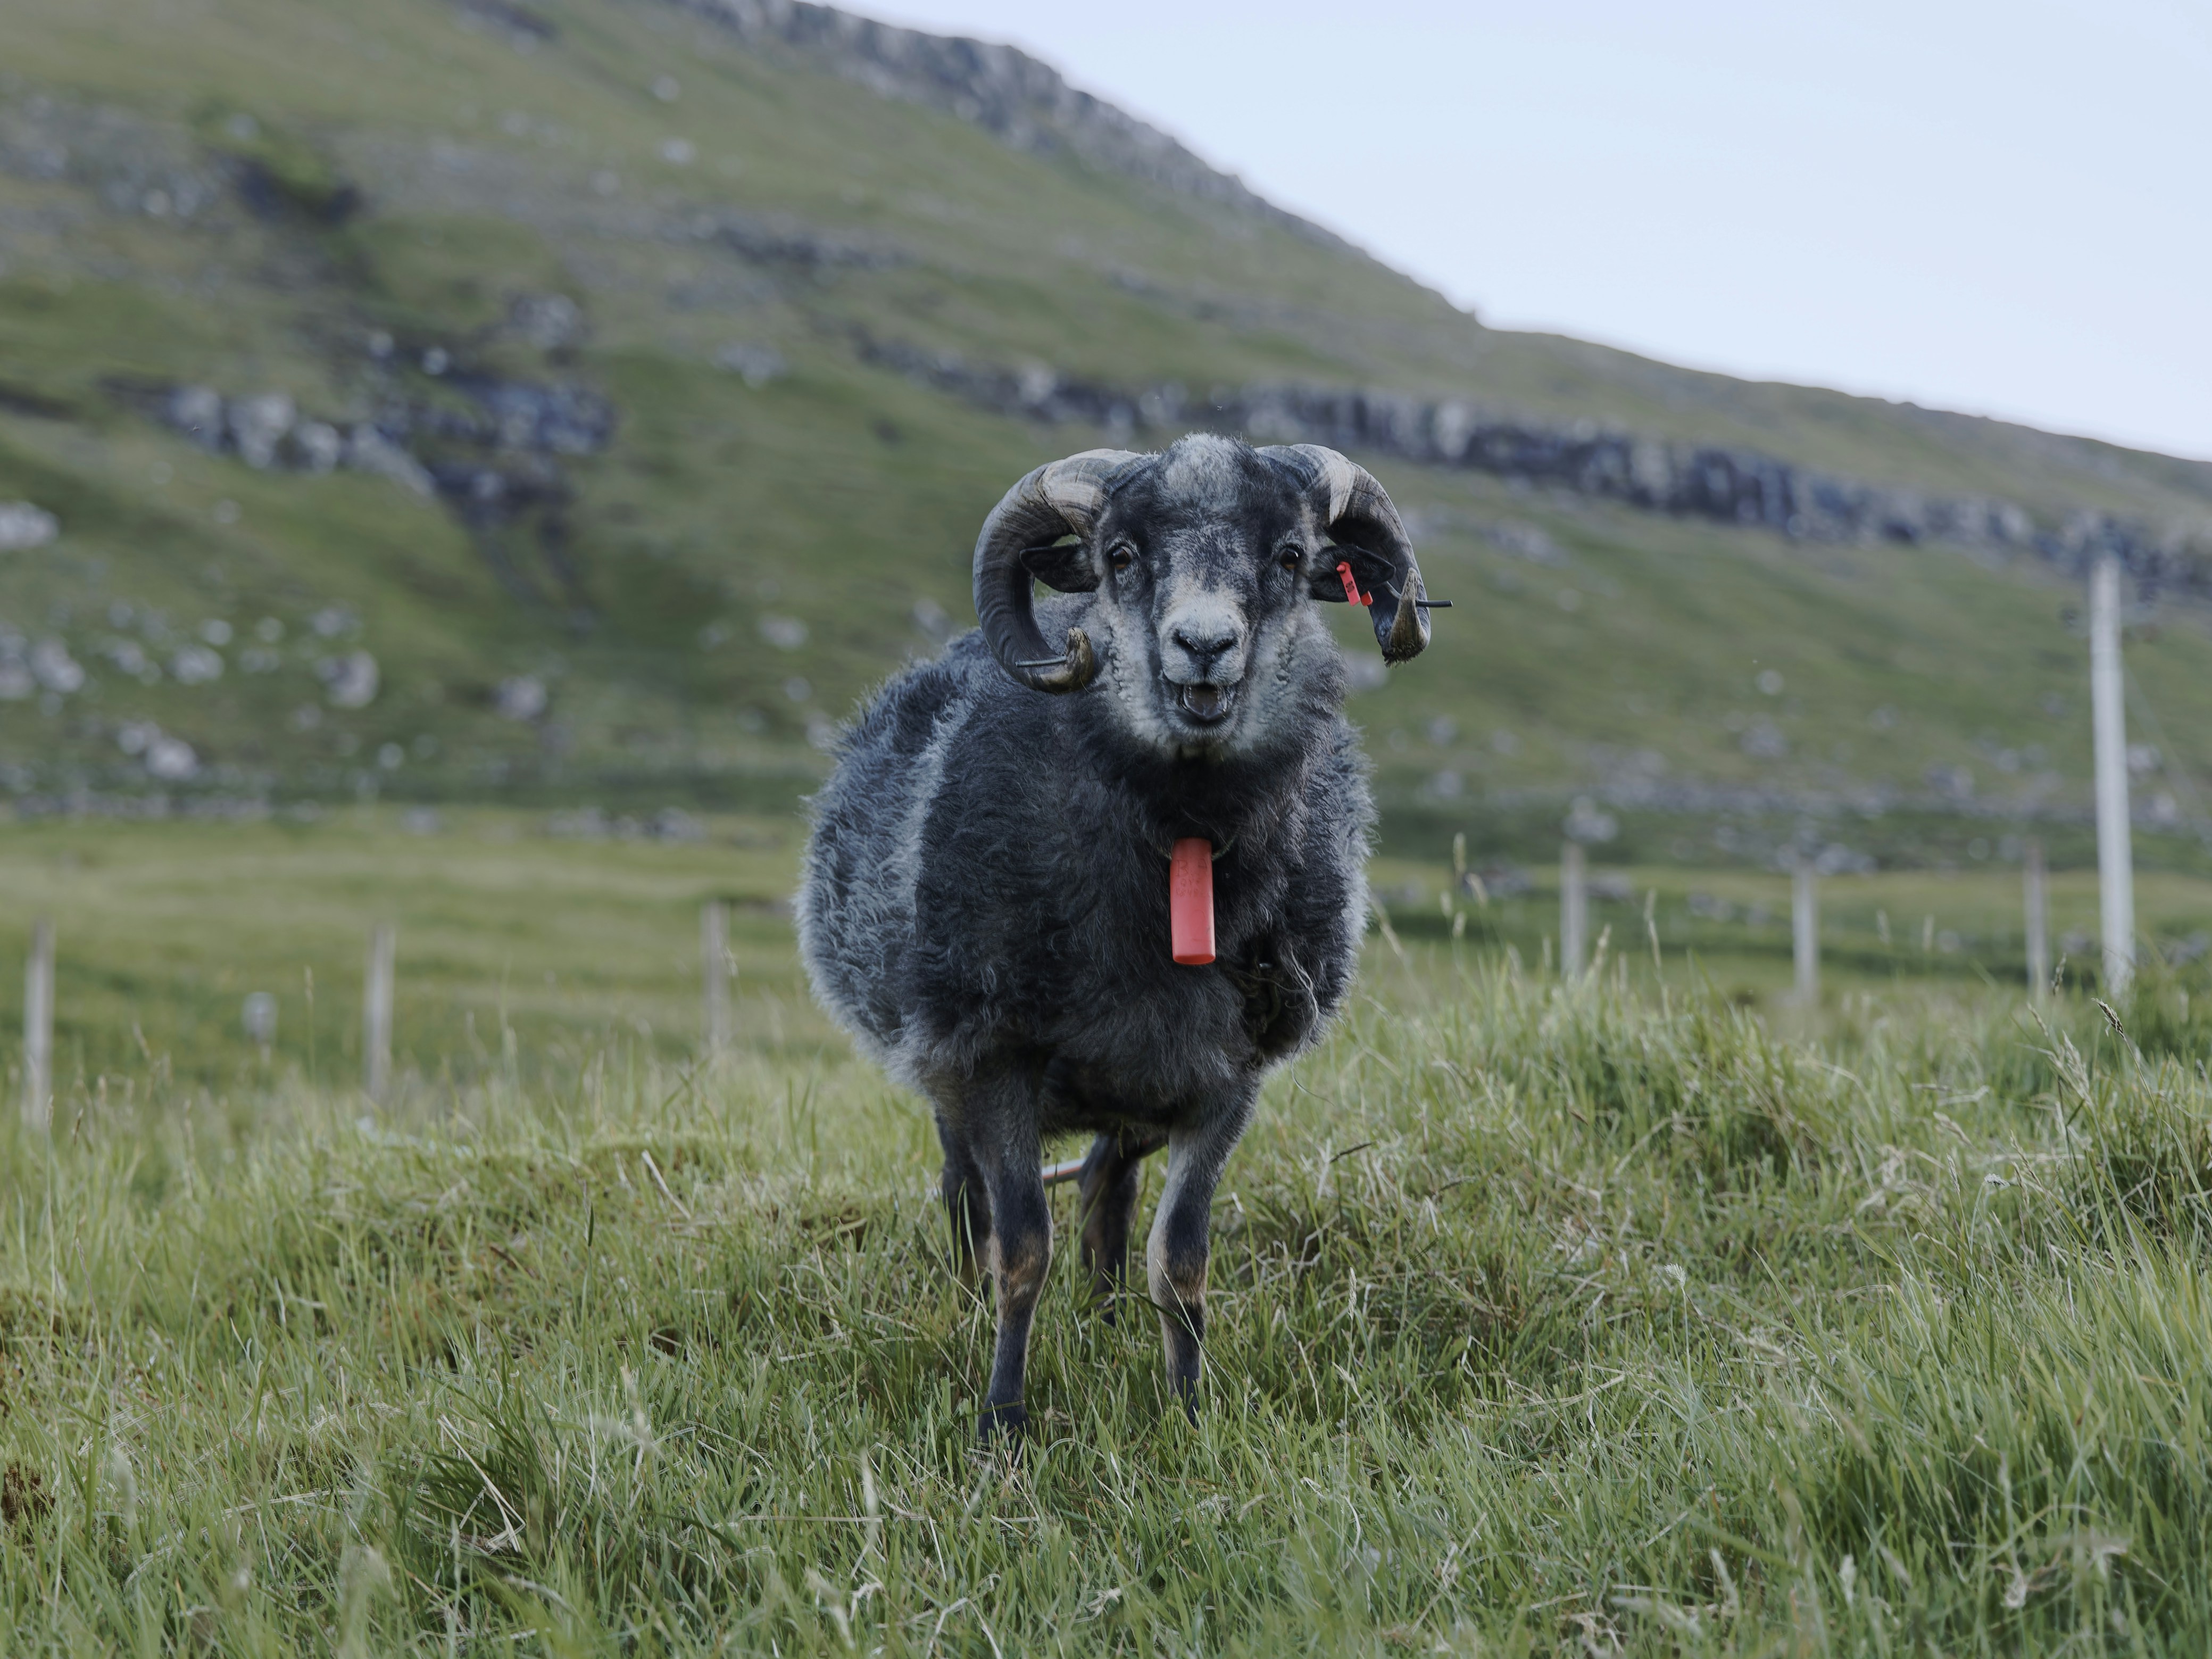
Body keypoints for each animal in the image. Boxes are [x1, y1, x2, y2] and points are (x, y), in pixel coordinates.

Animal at [797, 433, 1437, 1438]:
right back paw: (969, 1307)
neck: (1178, 833)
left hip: (1133, 1086)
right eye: (1121, 557)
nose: (1204, 646)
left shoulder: (1225, 1081)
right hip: (951, 1069)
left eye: (1291, 557)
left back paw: (1101, 1319)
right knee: (965, 1197)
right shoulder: (993, 1058)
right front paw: (1001, 1426)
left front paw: (1188, 1415)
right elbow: (1020, 1249)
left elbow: (1180, 1260)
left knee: (1106, 1187)